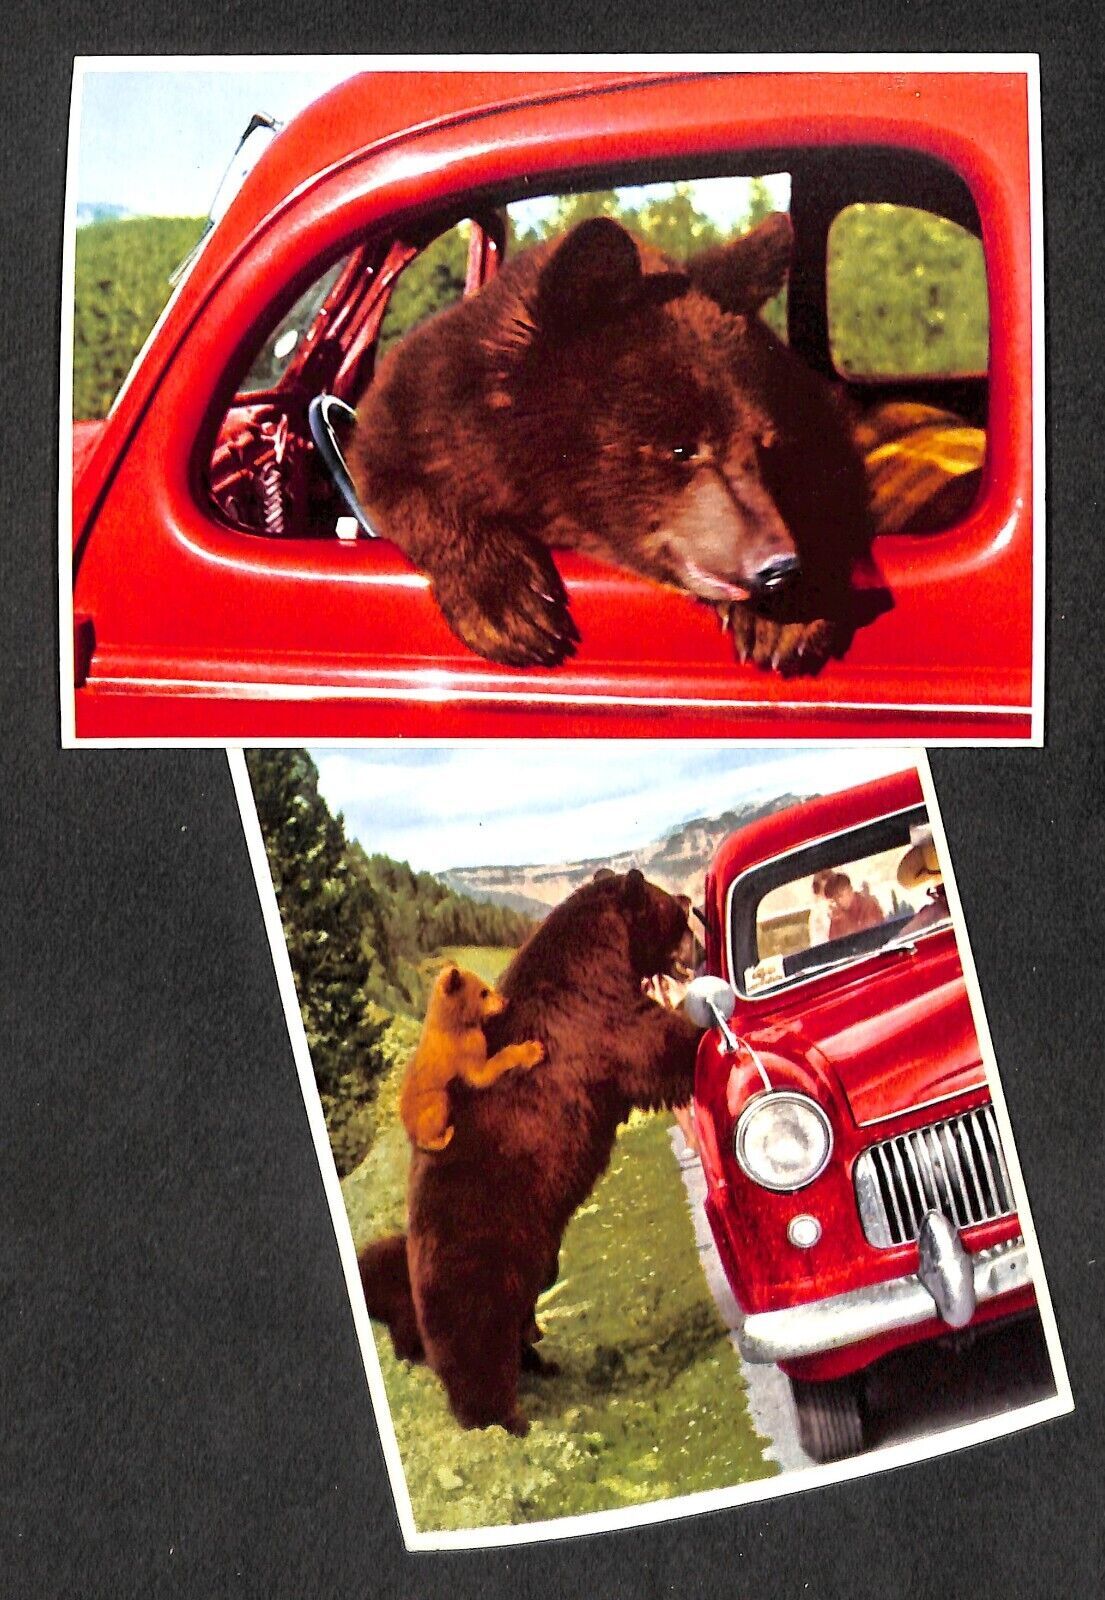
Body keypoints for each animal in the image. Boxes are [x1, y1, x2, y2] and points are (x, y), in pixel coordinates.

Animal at [347, 211, 878, 677]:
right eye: (681, 447)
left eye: (765, 441)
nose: (778, 567)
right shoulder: (419, 411)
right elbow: (394, 472)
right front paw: (510, 606)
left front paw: (790, 618)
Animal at [399, 963, 544, 1152]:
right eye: (483, 993)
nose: (506, 1001)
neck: (454, 1024)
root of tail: (409, 1131)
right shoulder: (467, 1054)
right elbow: (486, 1072)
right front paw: (530, 1052)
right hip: (436, 1101)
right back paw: (443, 1137)